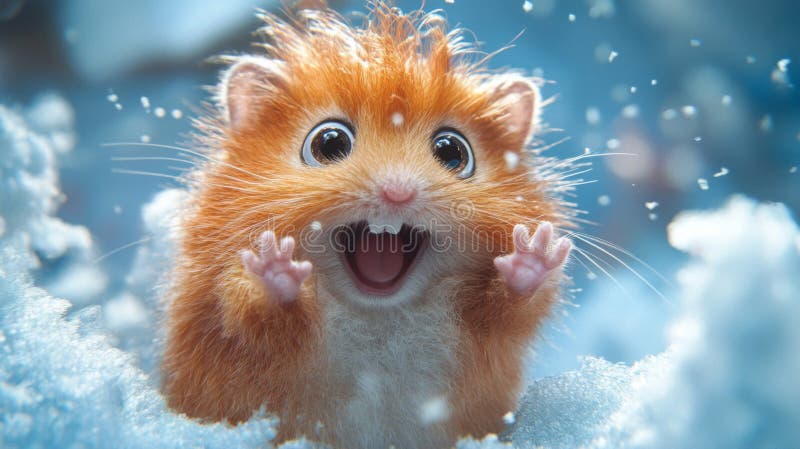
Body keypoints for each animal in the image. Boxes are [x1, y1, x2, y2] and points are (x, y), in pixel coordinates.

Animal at [161, 2, 573, 448]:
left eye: (453, 151)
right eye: (328, 142)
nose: (397, 192)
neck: (378, 313)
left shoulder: (489, 330)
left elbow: (515, 306)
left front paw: (533, 252)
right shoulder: (219, 295)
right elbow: (247, 308)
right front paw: (275, 264)